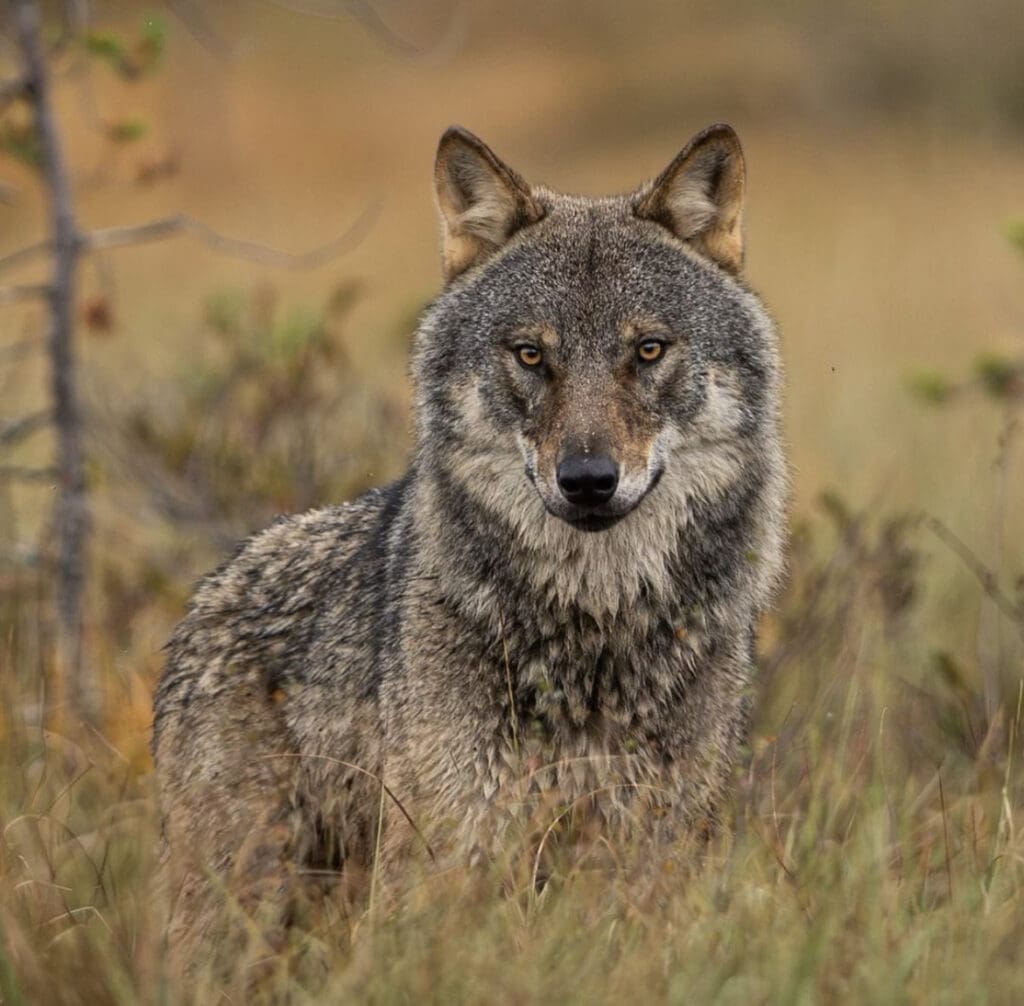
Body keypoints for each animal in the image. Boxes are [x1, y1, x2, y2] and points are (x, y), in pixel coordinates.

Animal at [153, 122, 787, 960]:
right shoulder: (445, 856)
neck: (594, 638)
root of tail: (210, 590)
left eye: (648, 350)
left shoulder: (655, 852)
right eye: (531, 355)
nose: (588, 480)